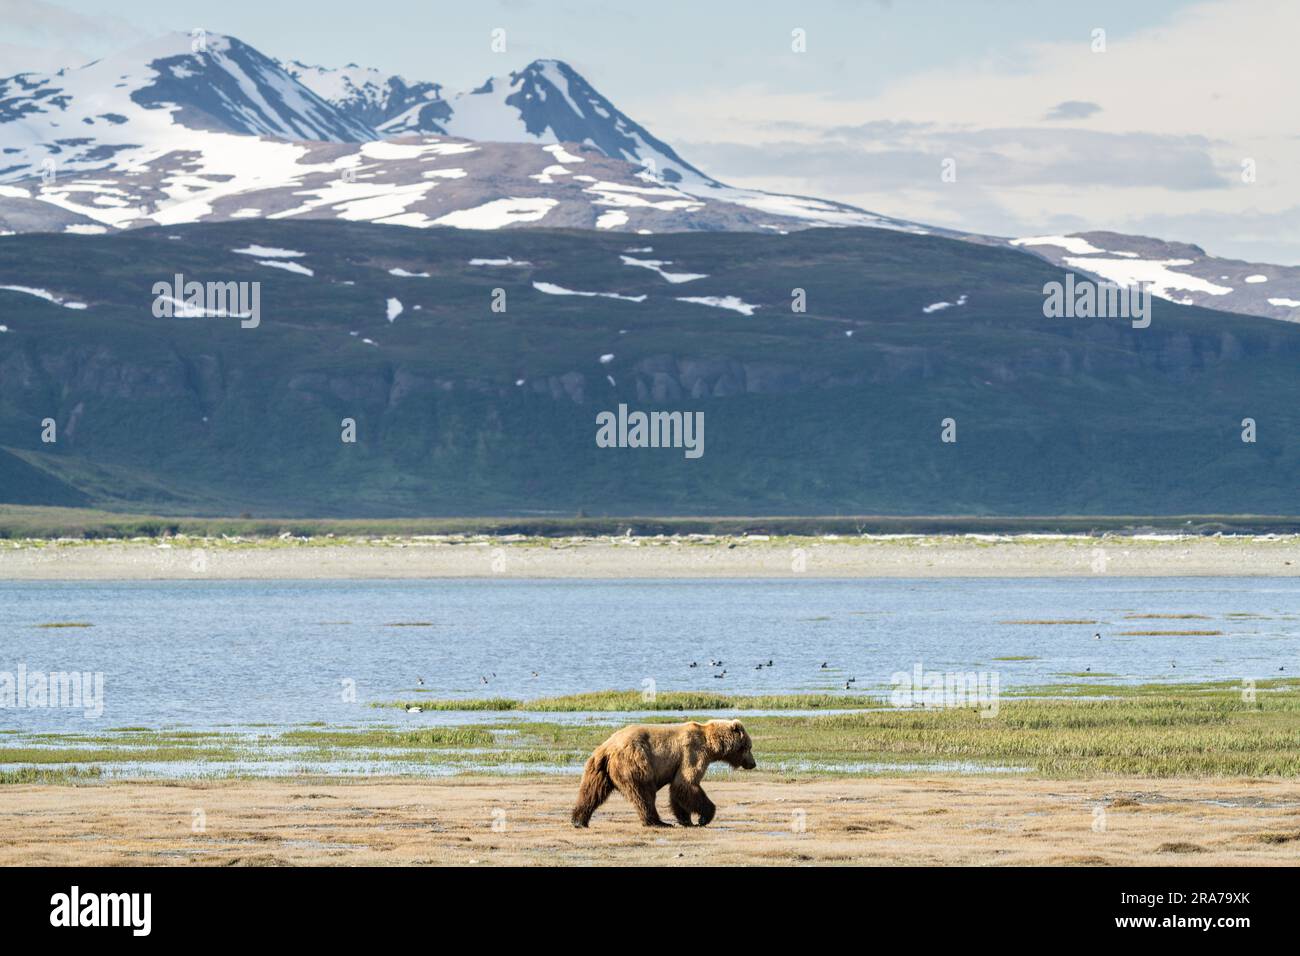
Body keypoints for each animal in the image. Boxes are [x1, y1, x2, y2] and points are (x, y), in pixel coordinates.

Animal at [571, 719, 756, 828]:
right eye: (748, 746)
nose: (753, 764)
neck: (711, 744)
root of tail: (607, 748)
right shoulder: (692, 753)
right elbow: (687, 784)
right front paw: (703, 818)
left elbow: (678, 791)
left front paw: (686, 820)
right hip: (636, 761)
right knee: (643, 793)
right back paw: (657, 821)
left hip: (598, 769)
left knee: (591, 792)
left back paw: (578, 820)